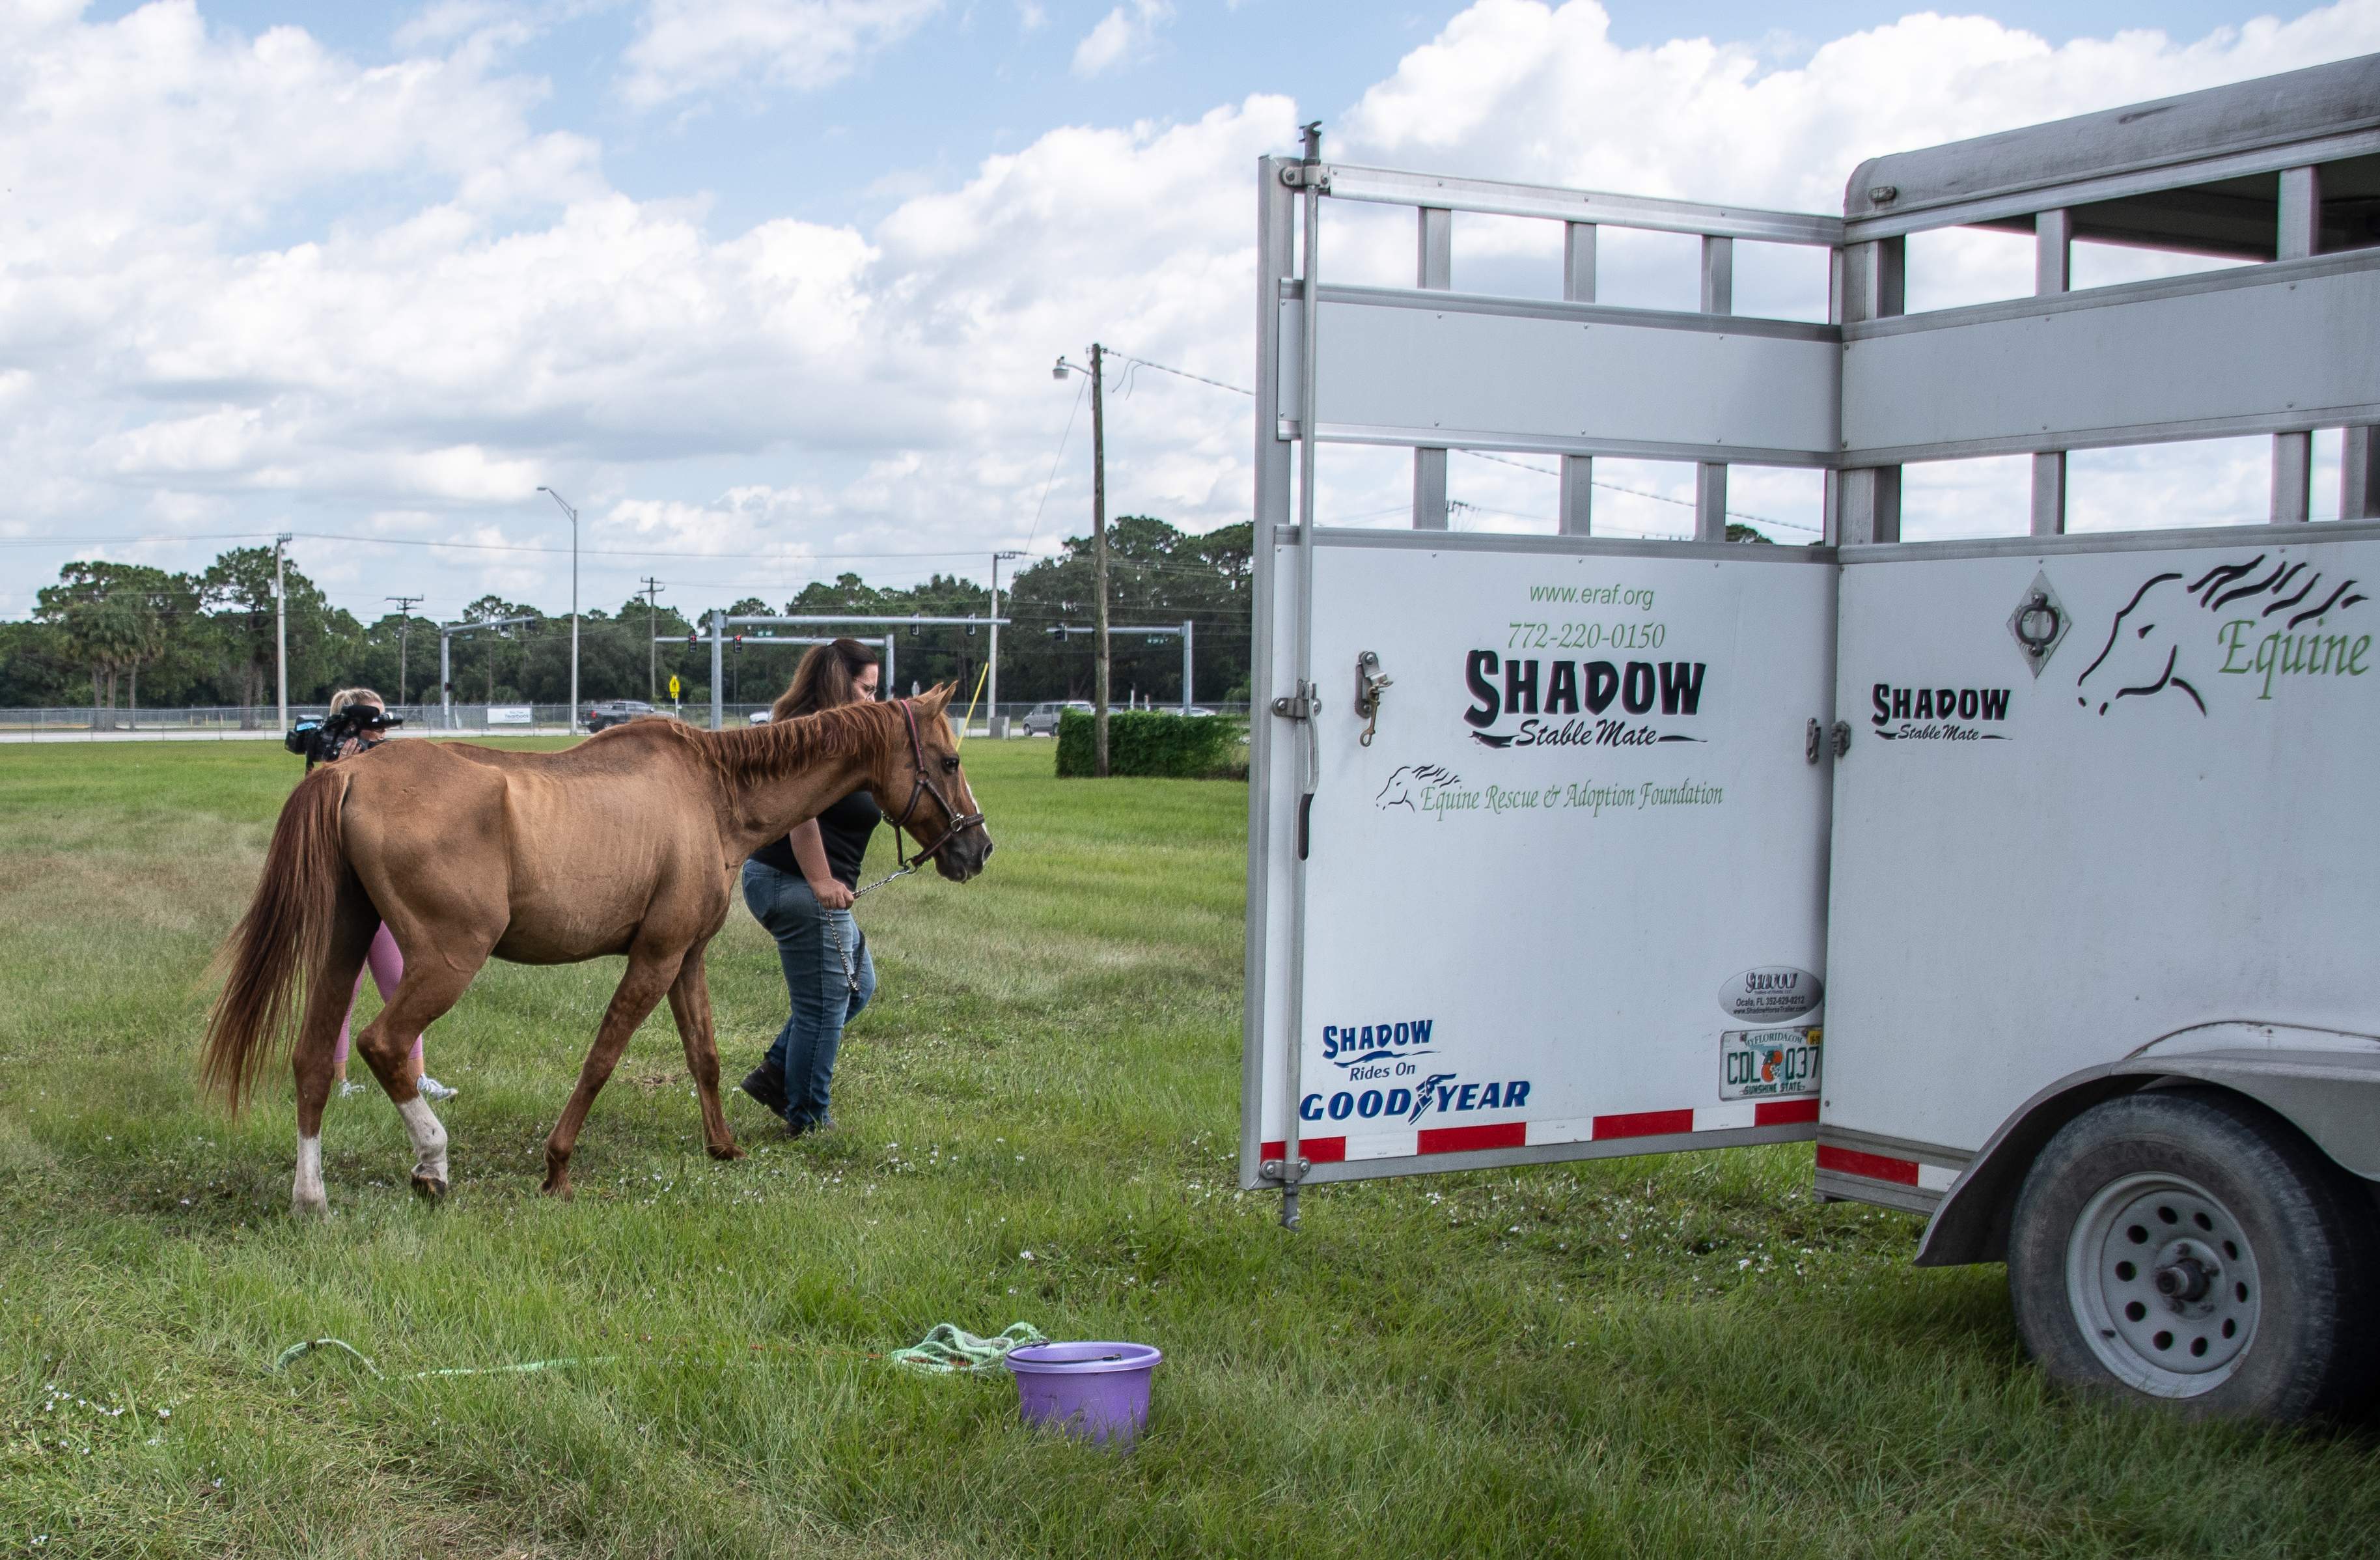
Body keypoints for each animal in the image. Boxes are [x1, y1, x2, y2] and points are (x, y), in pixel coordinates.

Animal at [200, 685, 991, 1215]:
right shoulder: (655, 957)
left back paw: (311, 1196)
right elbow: (603, 1059)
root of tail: (350, 771)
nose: (978, 848)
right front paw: (557, 1167)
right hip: (448, 958)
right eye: (951, 761)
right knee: (383, 1043)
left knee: (312, 1057)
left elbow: (704, 1055)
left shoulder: (687, 959)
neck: (714, 791)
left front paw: (723, 1145)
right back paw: (433, 1161)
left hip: (345, 941)